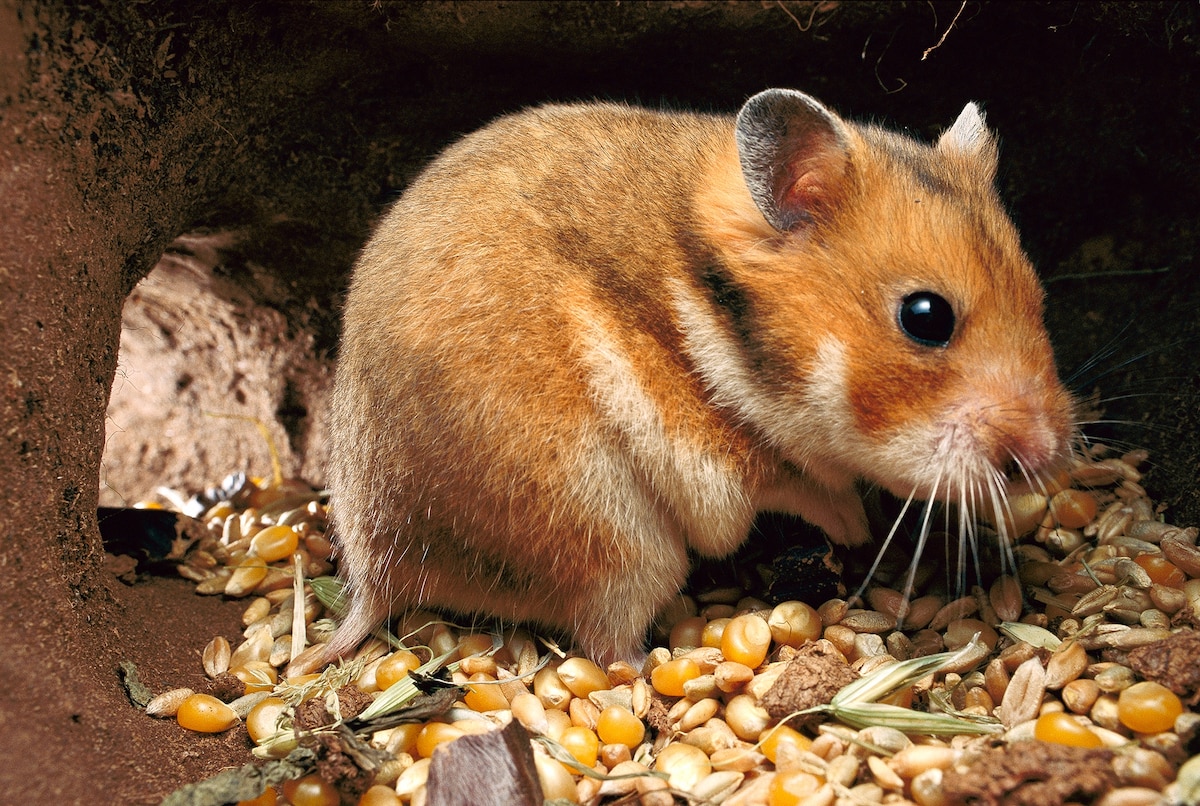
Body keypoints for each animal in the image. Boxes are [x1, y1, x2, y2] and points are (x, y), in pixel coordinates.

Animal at [325, 89, 1074, 666]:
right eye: (925, 317)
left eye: (1038, 298)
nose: (1047, 459)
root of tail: (380, 574)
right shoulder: (723, 465)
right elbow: (805, 489)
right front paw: (859, 528)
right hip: (613, 541)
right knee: (605, 643)